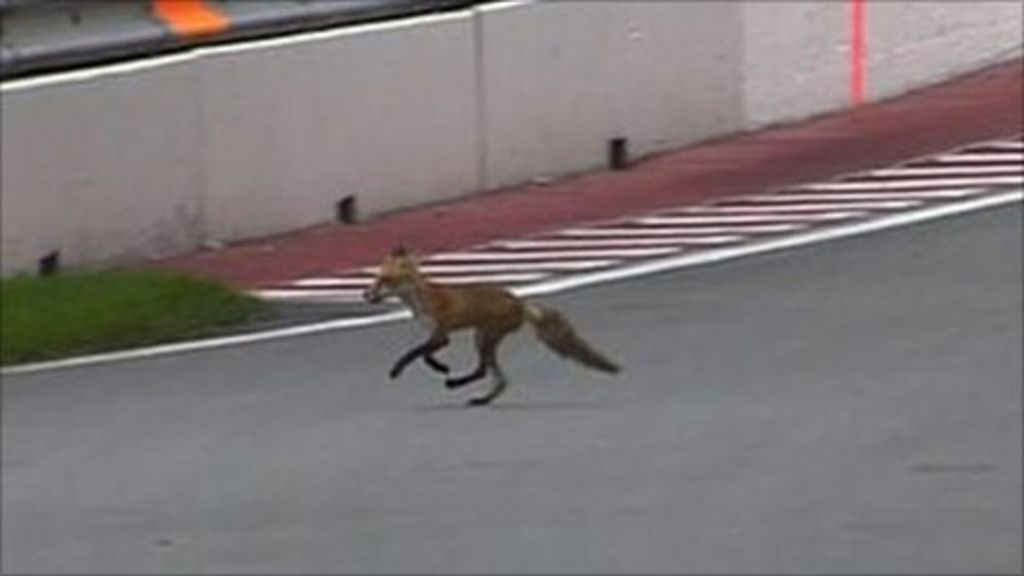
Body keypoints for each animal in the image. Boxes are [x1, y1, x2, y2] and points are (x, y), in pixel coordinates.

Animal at [363, 245, 620, 406]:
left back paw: (458, 385)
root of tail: (519, 301)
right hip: (482, 337)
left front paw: (398, 369)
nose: (365, 294)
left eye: (384, 280)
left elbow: (413, 353)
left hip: (484, 337)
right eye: (376, 279)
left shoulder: (441, 334)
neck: (422, 301)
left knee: (485, 371)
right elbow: (425, 355)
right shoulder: (436, 335)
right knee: (496, 377)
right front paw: (440, 367)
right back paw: (479, 398)